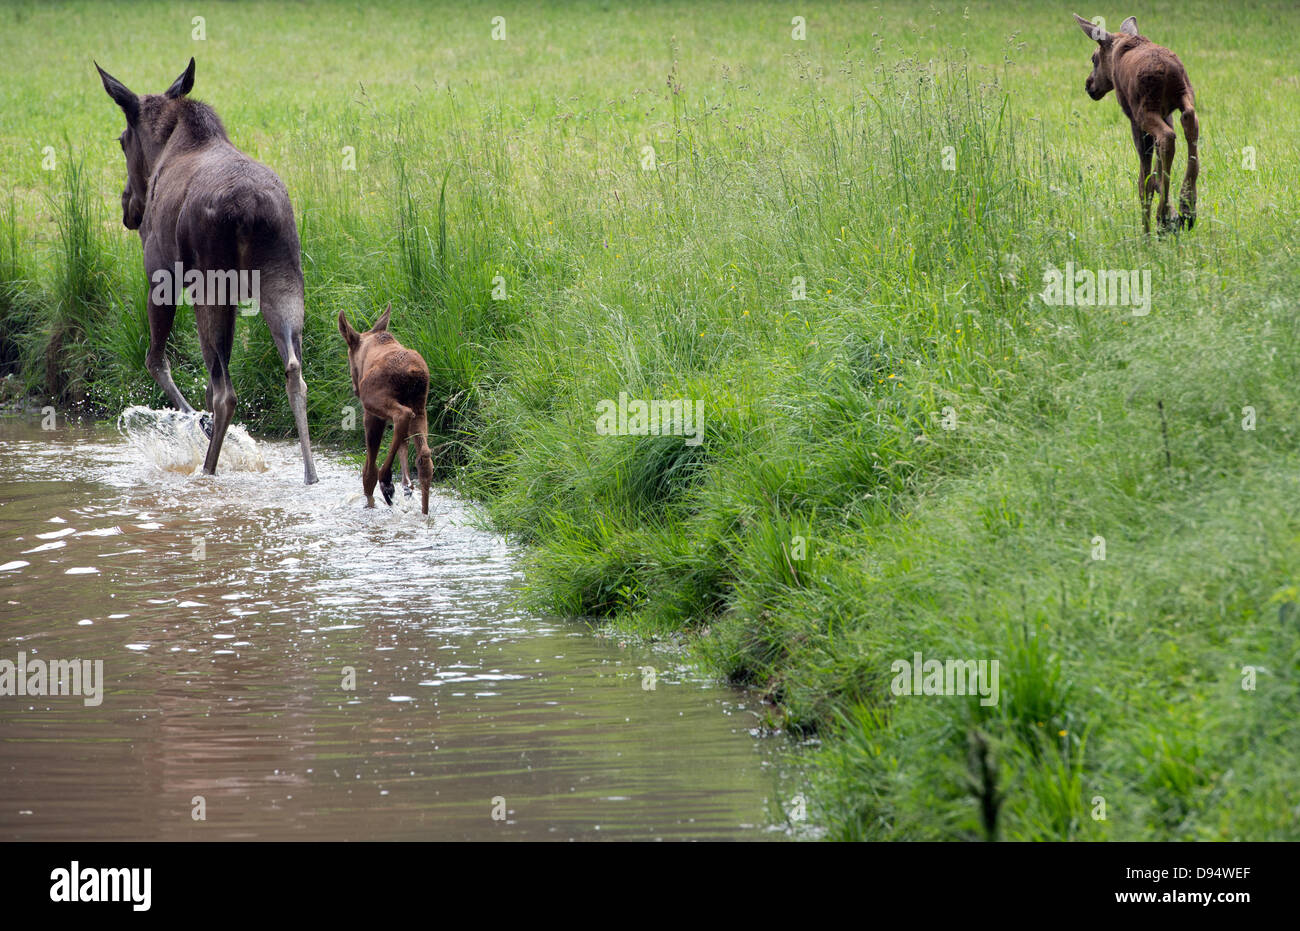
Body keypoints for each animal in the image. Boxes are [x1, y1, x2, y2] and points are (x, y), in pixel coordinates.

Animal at [96, 57, 318, 483]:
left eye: (121, 140)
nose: (126, 205)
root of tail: (251, 209)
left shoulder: (161, 274)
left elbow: (156, 361)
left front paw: (195, 424)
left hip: (211, 286)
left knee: (224, 392)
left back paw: (208, 468)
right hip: (283, 278)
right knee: (295, 371)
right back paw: (310, 475)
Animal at [338, 304, 434, 515]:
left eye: (349, 359)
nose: (355, 388)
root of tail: (413, 372)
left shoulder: (371, 414)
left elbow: (368, 472)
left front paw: (371, 501)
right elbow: (403, 446)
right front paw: (407, 487)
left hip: (378, 402)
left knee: (402, 416)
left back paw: (387, 480)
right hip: (420, 407)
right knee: (424, 456)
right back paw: (423, 511)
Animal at [1072, 14, 1199, 235]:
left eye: (1094, 58)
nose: (1088, 85)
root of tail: (1168, 72)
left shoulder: (1133, 117)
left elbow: (1144, 178)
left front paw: (1148, 230)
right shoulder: (1166, 112)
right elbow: (1156, 168)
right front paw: (1174, 211)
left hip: (1143, 110)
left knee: (1167, 137)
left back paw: (1163, 215)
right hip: (1184, 95)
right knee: (1189, 122)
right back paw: (1187, 204)